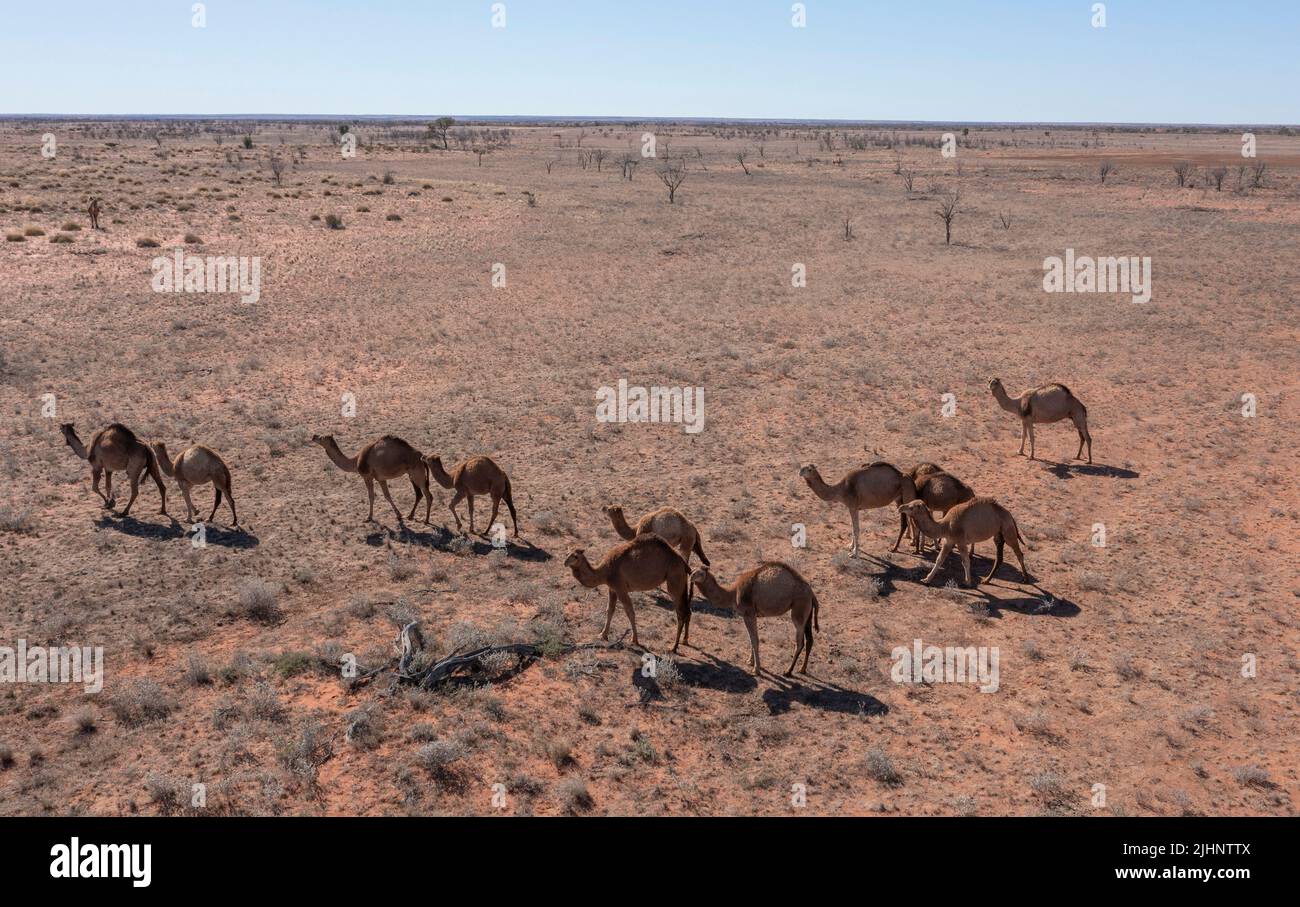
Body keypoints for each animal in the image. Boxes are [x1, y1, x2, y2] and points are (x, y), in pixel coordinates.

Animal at [691, 562, 819, 677]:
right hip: (807, 614)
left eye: (700, 573)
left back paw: (788, 671)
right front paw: (750, 661)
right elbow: (750, 638)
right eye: (693, 570)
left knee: (800, 642)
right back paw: (802, 669)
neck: (733, 593)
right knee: (810, 640)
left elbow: (755, 640)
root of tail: (812, 594)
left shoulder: (749, 614)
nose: (691, 576)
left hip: (799, 609)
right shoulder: (749, 615)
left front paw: (756, 670)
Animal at [898, 498, 1032, 588]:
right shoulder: (948, 541)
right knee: (999, 558)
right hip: (998, 534)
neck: (944, 526)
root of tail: (1010, 515)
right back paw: (986, 580)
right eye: (909, 503)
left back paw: (1025, 579)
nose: (900, 507)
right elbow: (939, 560)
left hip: (1008, 531)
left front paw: (968, 582)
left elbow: (966, 561)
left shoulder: (960, 541)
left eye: (911, 507)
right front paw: (926, 579)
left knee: (1019, 553)